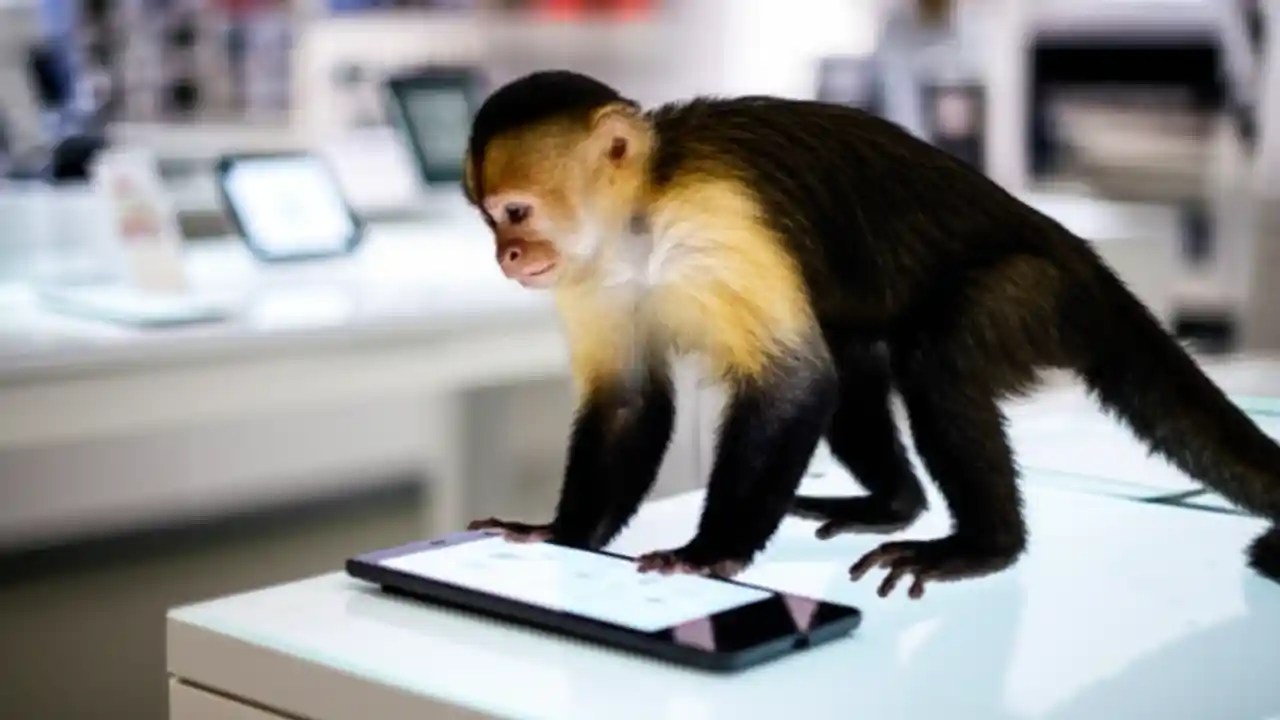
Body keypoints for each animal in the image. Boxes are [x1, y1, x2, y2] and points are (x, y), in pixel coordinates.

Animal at [463, 70, 1280, 599]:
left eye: (517, 213)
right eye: (488, 218)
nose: (506, 257)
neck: (642, 218)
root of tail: (1074, 248)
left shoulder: (717, 218)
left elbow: (792, 382)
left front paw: (711, 552)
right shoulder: (591, 275)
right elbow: (630, 402)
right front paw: (561, 533)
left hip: (1035, 291)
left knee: (936, 361)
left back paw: (985, 547)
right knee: (855, 363)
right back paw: (893, 502)